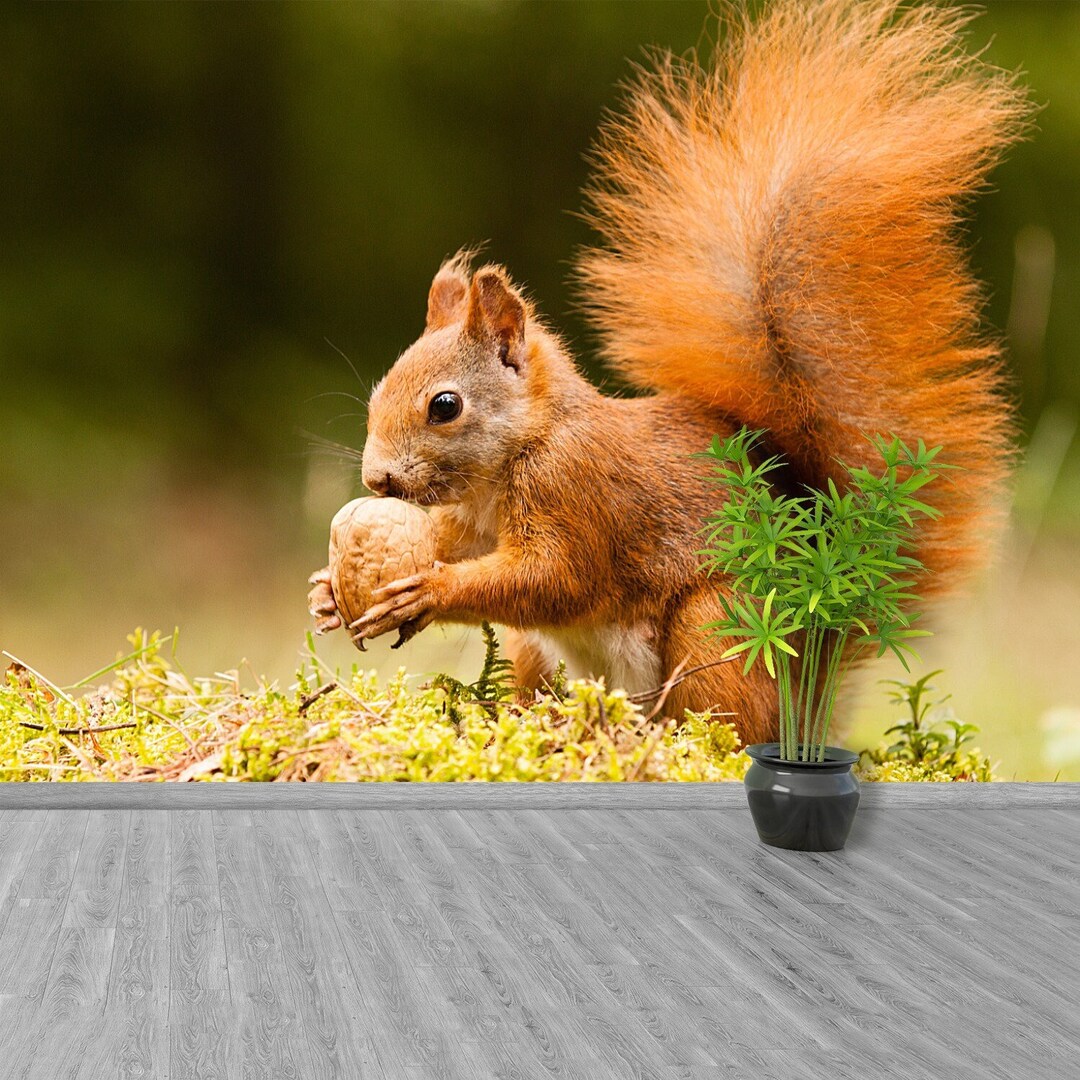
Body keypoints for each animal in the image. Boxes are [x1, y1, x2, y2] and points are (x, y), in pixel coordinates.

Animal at [308, 0, 1031, 746]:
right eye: (378, 392)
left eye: (445, 406)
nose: (376, 480)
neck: (519, 452)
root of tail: (811, 696)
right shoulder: (472, 523)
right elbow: (453, 545)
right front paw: (329, 591)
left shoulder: (578, 492)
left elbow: (552, 580)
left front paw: (428, 590)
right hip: (539, 653)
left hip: (722, 626)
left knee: (723, 718)